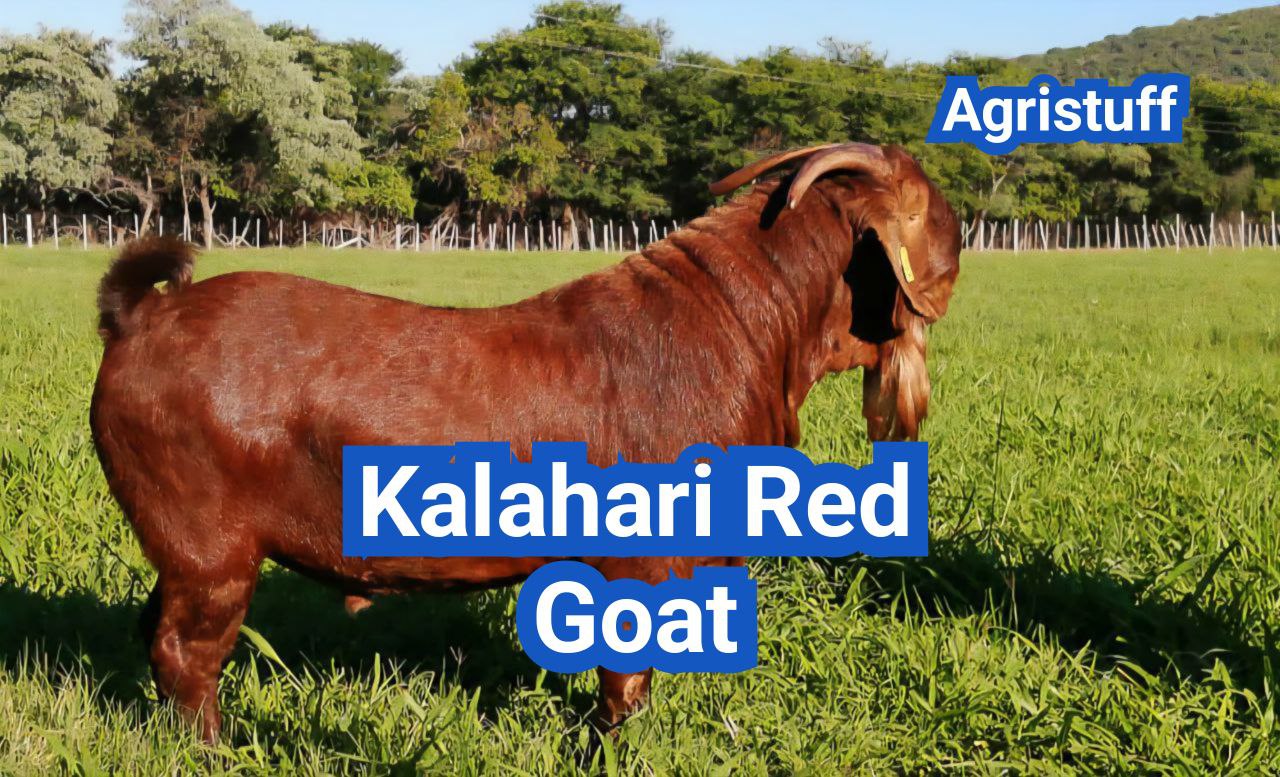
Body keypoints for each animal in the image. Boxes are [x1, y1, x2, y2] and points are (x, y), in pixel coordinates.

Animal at [90, 143, 960, 742]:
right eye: (932, 208)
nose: (956, 243)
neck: (747, 324)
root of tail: (143, 316)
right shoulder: (644, 557)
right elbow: (626, 675)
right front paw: (610, 747)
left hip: (183, 552)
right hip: (211, 549)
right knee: (185, 655)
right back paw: (214, 750)